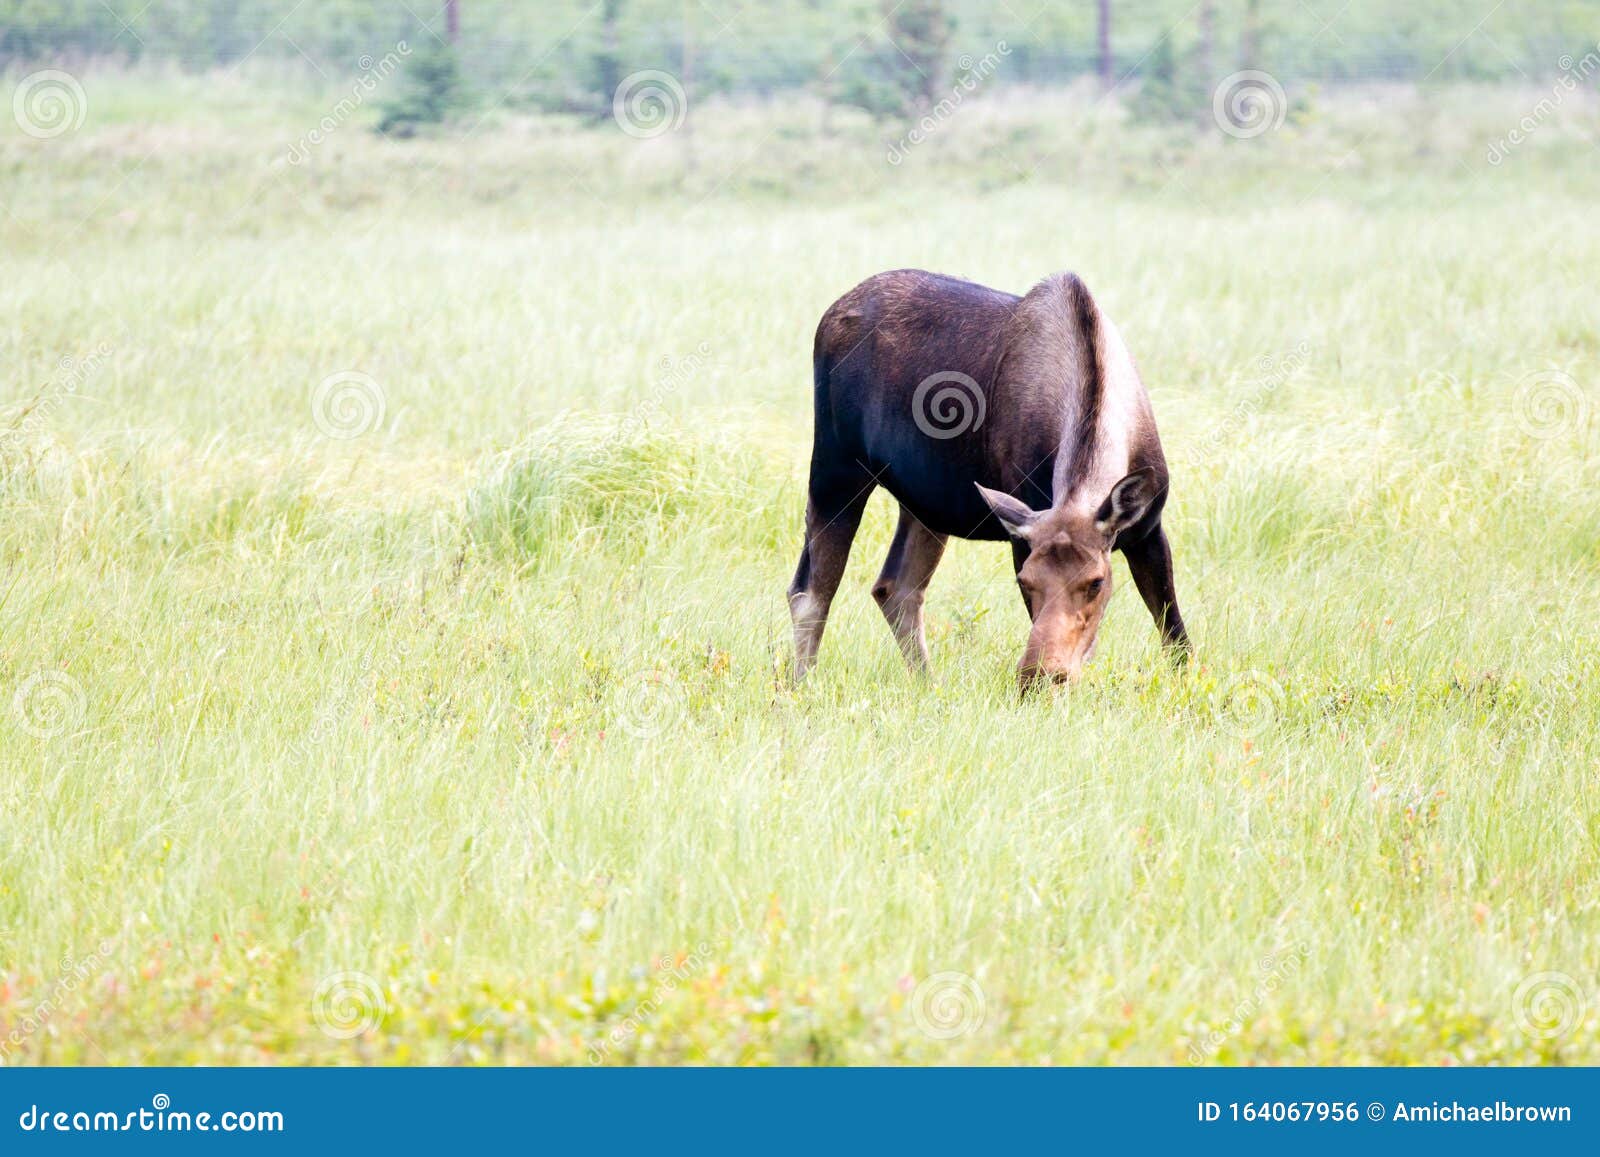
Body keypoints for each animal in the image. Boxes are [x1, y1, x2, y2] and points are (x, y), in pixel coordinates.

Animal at [788, 269, 1190, 689]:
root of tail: (830, 315)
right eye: (1025, 582)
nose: (1038, 673)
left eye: (1096, 581)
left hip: (924, 502)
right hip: (836, 466)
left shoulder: (1148, 528)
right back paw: (803, 686)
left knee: (895, 587)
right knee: (810, 590)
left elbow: (1175, 634)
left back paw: (927, 684)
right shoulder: (1022, 534)